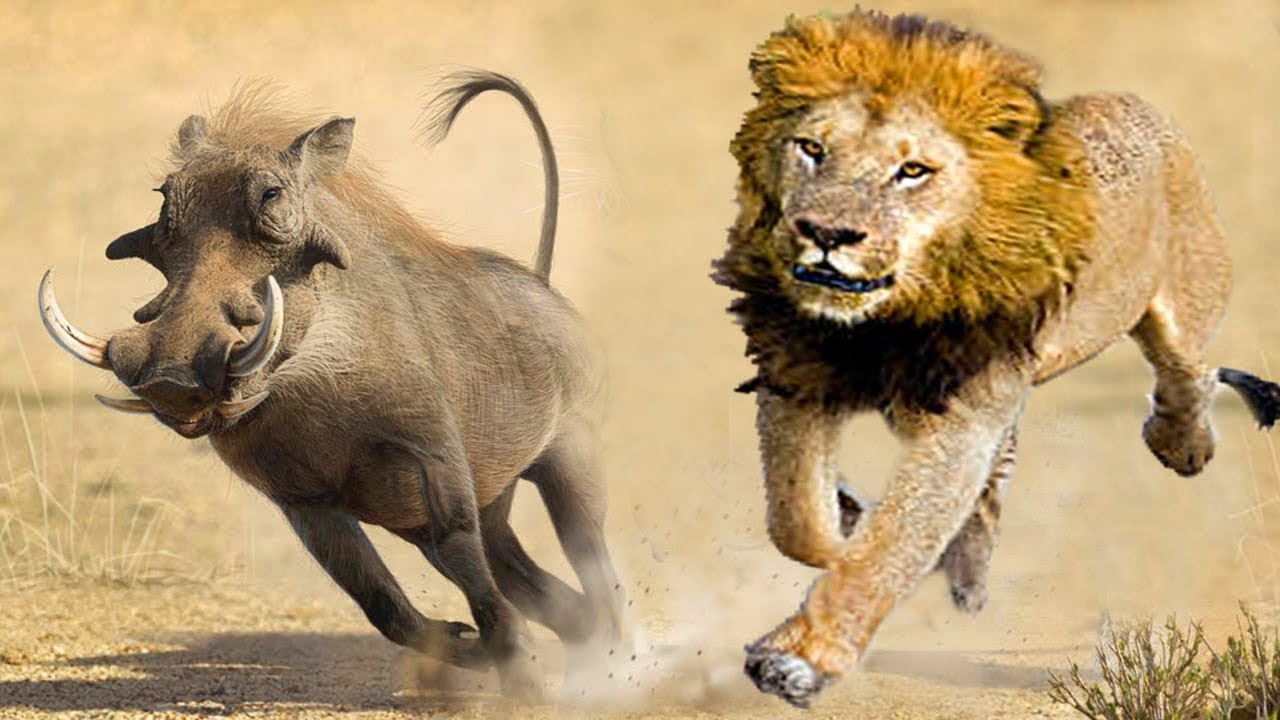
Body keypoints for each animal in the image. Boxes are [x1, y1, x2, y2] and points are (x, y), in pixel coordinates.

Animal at [713, 10, 1280, 708]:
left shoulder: (960, 421)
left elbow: (884, 548)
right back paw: (966, 570)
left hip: (1183, 296)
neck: (884, 319)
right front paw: (845, 515)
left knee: (1188, 371)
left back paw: (1181, 444)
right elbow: (795, 518)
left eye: (912, 171)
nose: (824, 234)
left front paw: (798, 658)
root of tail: (1139, 103)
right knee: (1000, 467)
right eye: (811, 149)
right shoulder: (798, 377)